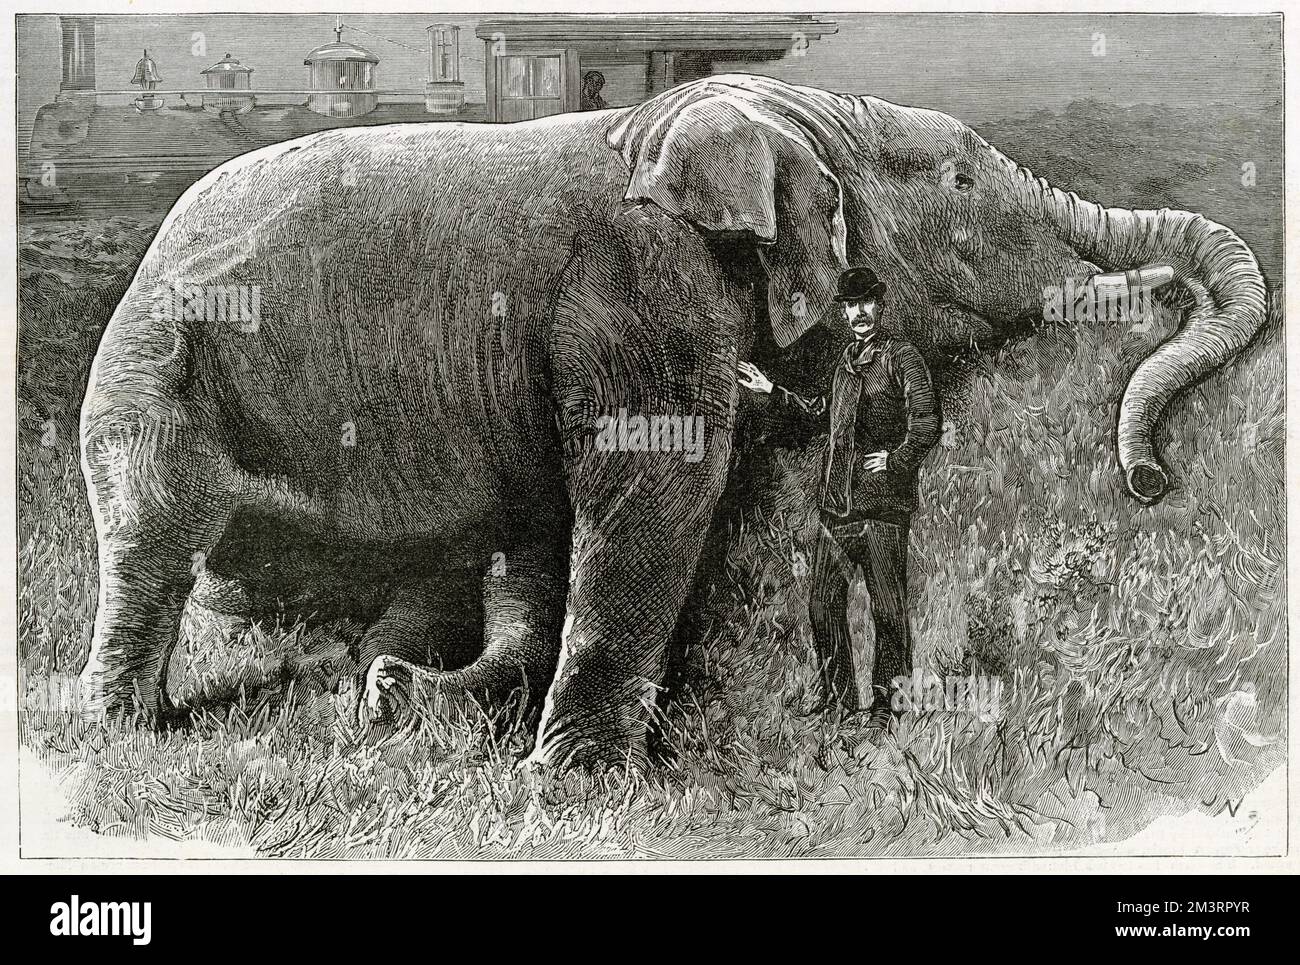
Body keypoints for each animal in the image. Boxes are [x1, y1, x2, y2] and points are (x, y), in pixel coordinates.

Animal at [78, 73, 1266, 769]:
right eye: (964, 182)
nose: (1149, 478)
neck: (677, 122)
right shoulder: (638, 291)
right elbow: (659, 493)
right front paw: (576, 787)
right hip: (154, 382)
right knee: (149, 547)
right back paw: (124, 730)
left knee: (469, 569)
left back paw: (389, 694)